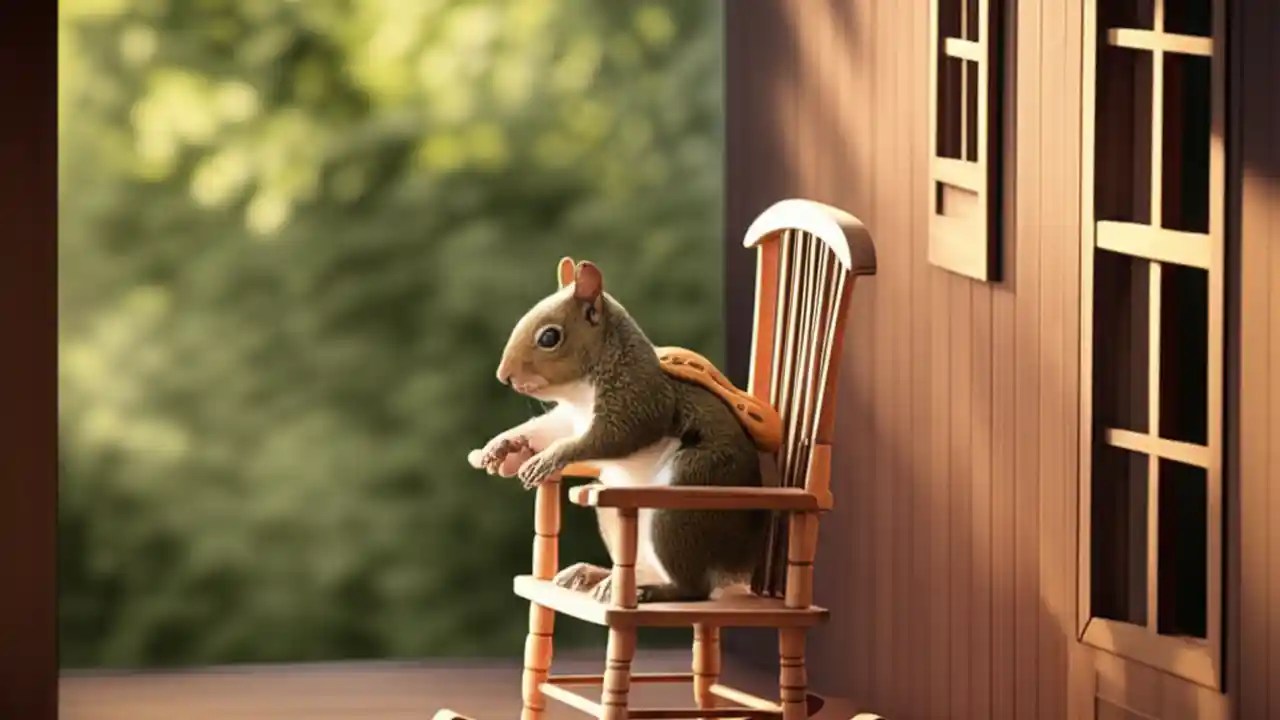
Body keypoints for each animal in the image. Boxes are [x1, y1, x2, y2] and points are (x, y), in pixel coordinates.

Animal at [467, 259, 766, 604]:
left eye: (549, 337)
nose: (504, 376)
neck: (581, 391)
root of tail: (743, 566)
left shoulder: (638, 401)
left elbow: (611, 437)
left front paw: (547, 459)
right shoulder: (569, 420)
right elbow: (544, 430)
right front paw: (502, 446)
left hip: (682, 505)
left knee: (694, 589)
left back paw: (649, 591)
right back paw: (596, 576)